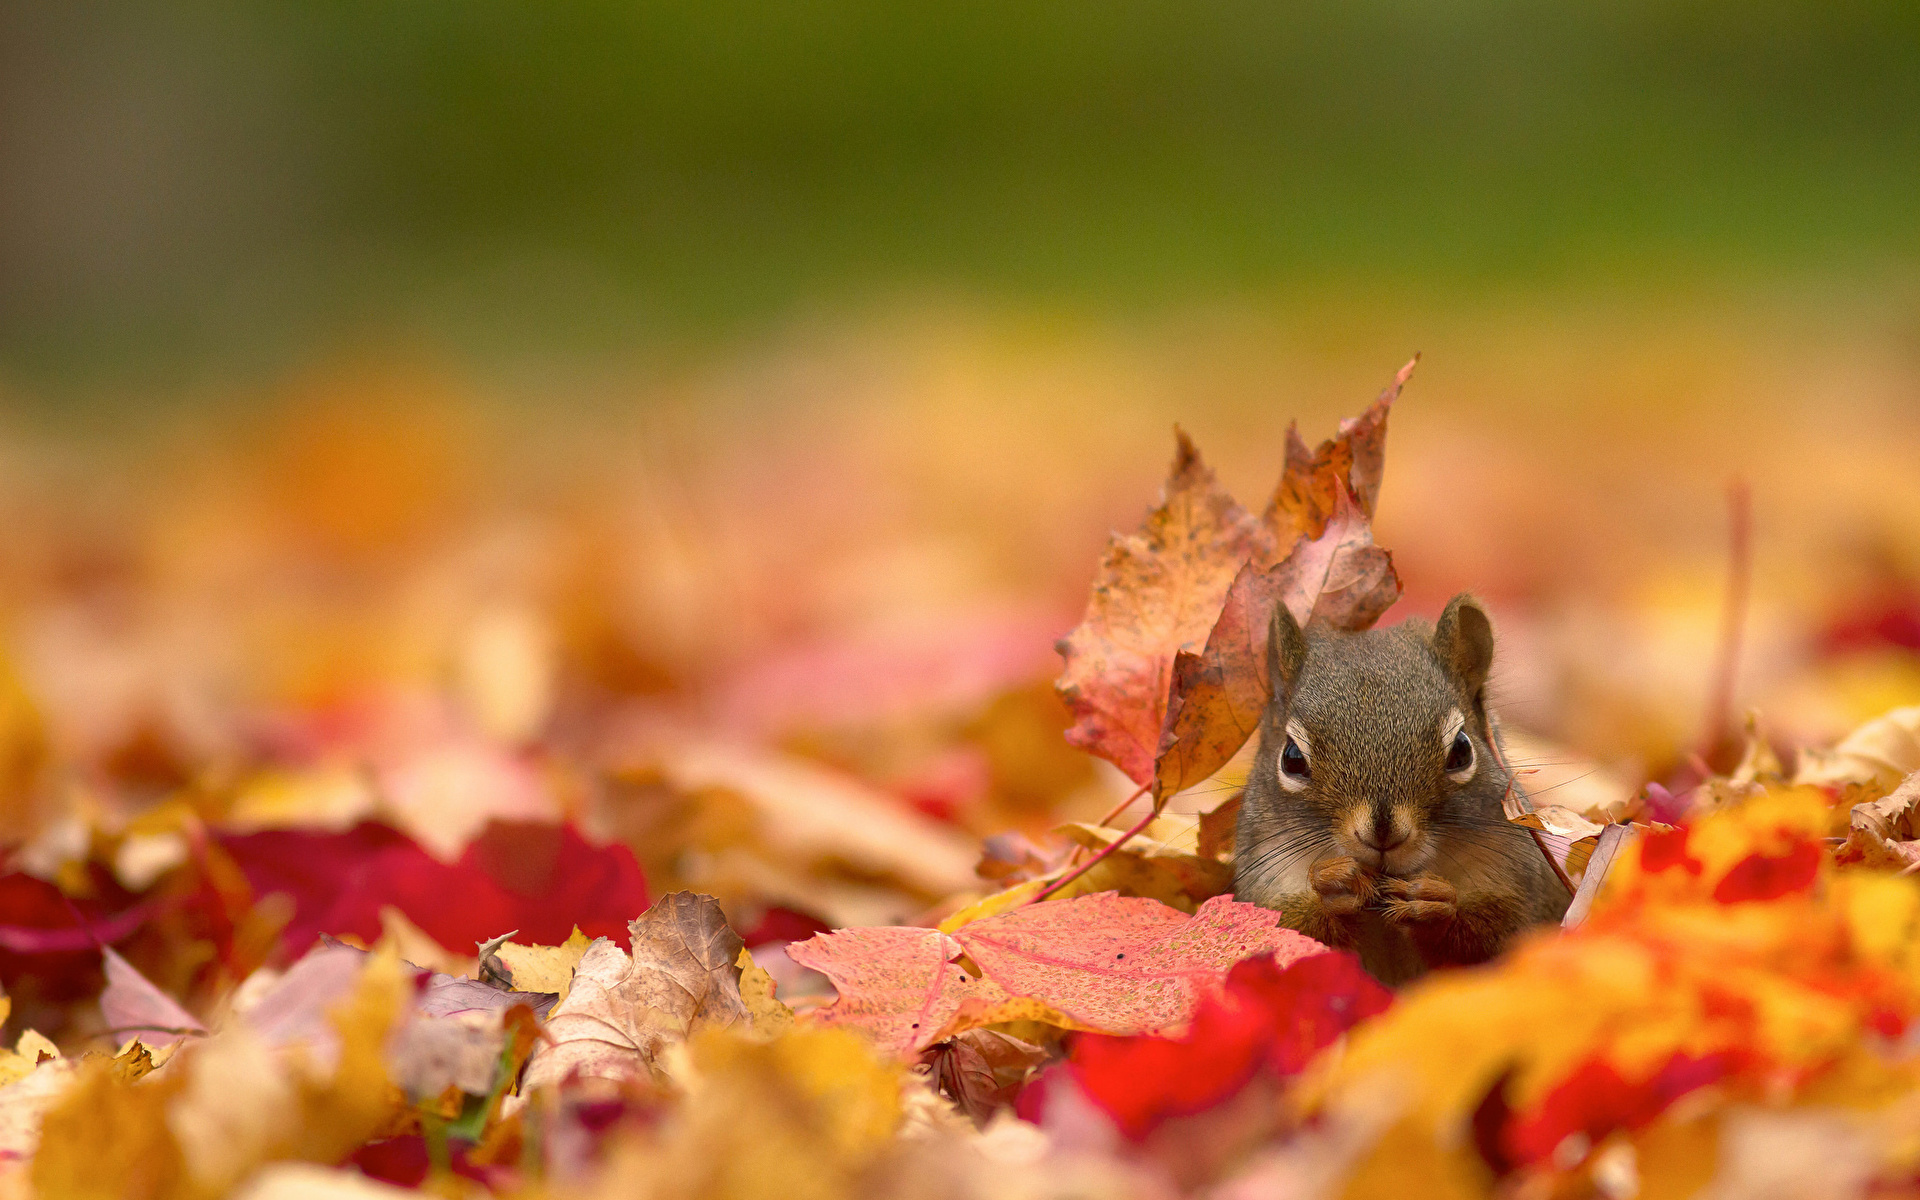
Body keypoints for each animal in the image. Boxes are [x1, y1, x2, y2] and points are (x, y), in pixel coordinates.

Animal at [1232, 594, 1569, 986]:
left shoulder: (1519, 884)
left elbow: (1501, 935)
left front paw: (1435, 904)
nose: (1382, 832)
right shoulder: (1266, 887)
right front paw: (1332, 886)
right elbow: (1290, 933)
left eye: (1462, 750)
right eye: (1291, 758)